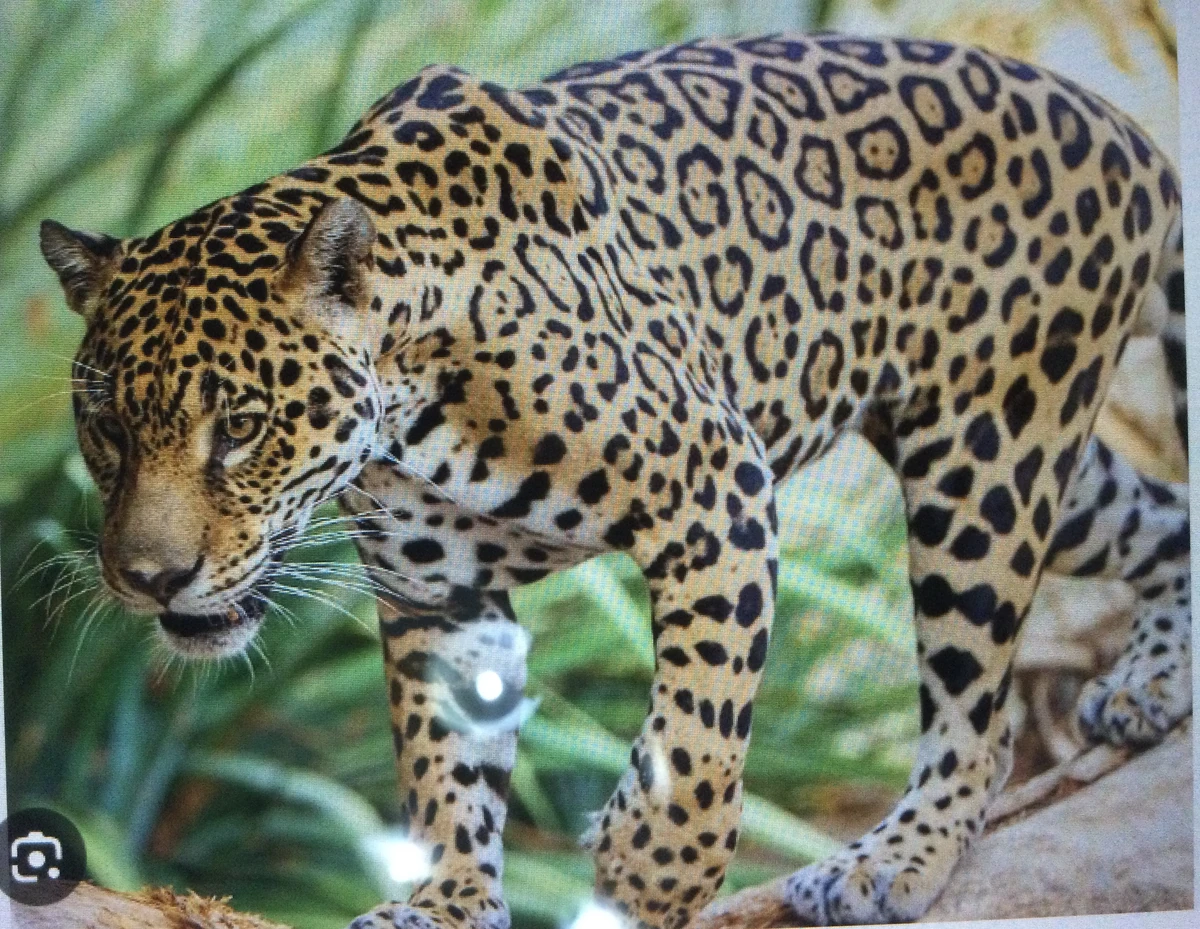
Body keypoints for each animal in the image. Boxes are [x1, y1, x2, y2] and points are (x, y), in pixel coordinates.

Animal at [40, 31, 1190, 929]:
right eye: (105, 427)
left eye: (240, 426)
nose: (149, 577)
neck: (407, 397)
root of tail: (1132, 137)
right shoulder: (439, 595)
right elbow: (443, 764)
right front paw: (449, 897)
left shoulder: (717, 485)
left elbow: (703, 717)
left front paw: (654, 867)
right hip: (1019, 457)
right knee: (1166, 516)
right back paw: (1154, 684)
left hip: (982, 464)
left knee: (980, 721)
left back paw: (886, 860)